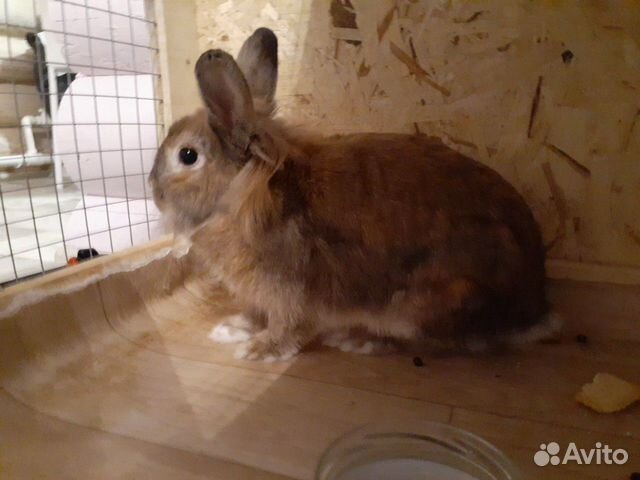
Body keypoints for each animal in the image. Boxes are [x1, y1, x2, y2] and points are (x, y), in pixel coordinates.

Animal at [149, 27, 560, 362]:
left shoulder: (290, 292)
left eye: (187, 156)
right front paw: (233, 327)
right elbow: (256, 311)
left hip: (424, 304)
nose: (153, 192)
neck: (242, 194)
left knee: (432, 343)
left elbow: (288, 326)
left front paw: (259, 349)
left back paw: (360, 340)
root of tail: (531, 308)